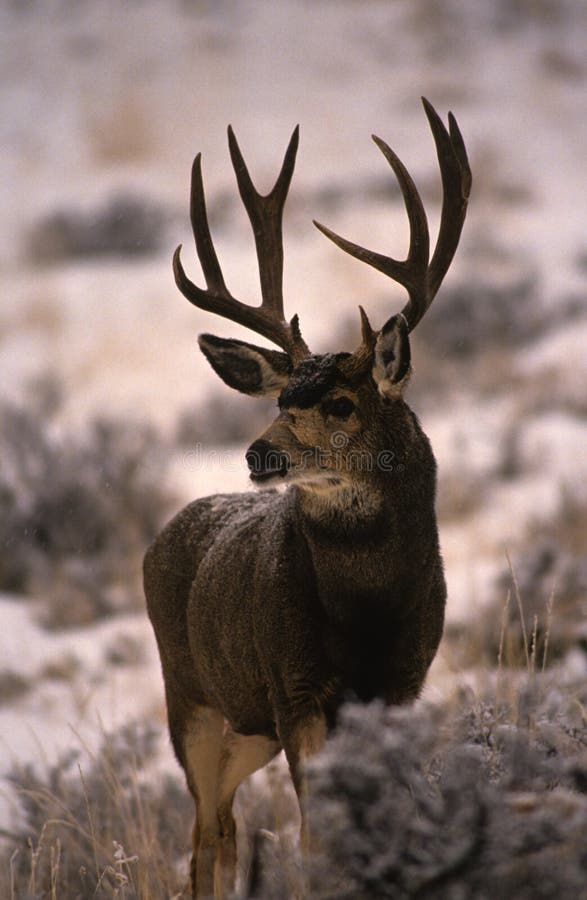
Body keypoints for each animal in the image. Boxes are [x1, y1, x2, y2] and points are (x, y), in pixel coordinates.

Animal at [144, 98, 471, 899]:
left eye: (342, 404)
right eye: (282, 398)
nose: (260, 453)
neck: (366, 609)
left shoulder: (402, 683)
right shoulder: (296, 691)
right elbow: (315, 834)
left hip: (245, 726)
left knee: (222, 829)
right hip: (191, 698)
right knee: (204, 834)